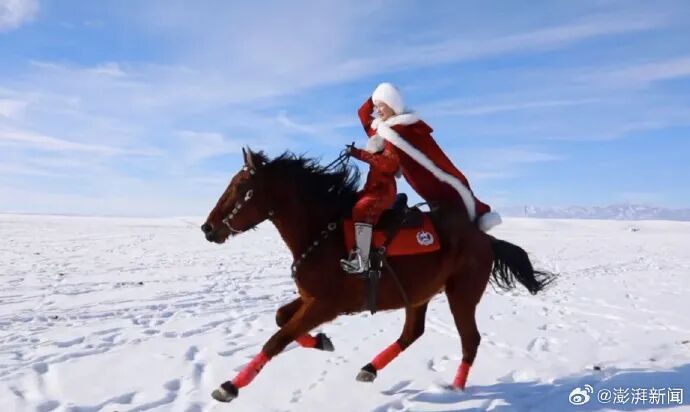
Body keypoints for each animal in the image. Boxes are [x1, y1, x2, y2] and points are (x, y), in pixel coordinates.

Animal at [201, 148, 555, 403]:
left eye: (241, 187)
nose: (207, 228)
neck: (323, 233)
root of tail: (485, 239)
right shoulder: (310, 298)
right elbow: (280, 319)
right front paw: (322, 341)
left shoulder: (326, 305)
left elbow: (278, 338)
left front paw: (230, 386)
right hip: (419, 294)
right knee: (413, 333)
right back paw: (369, 369)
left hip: (462, 295)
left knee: (470, 340)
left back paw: (455, 389)